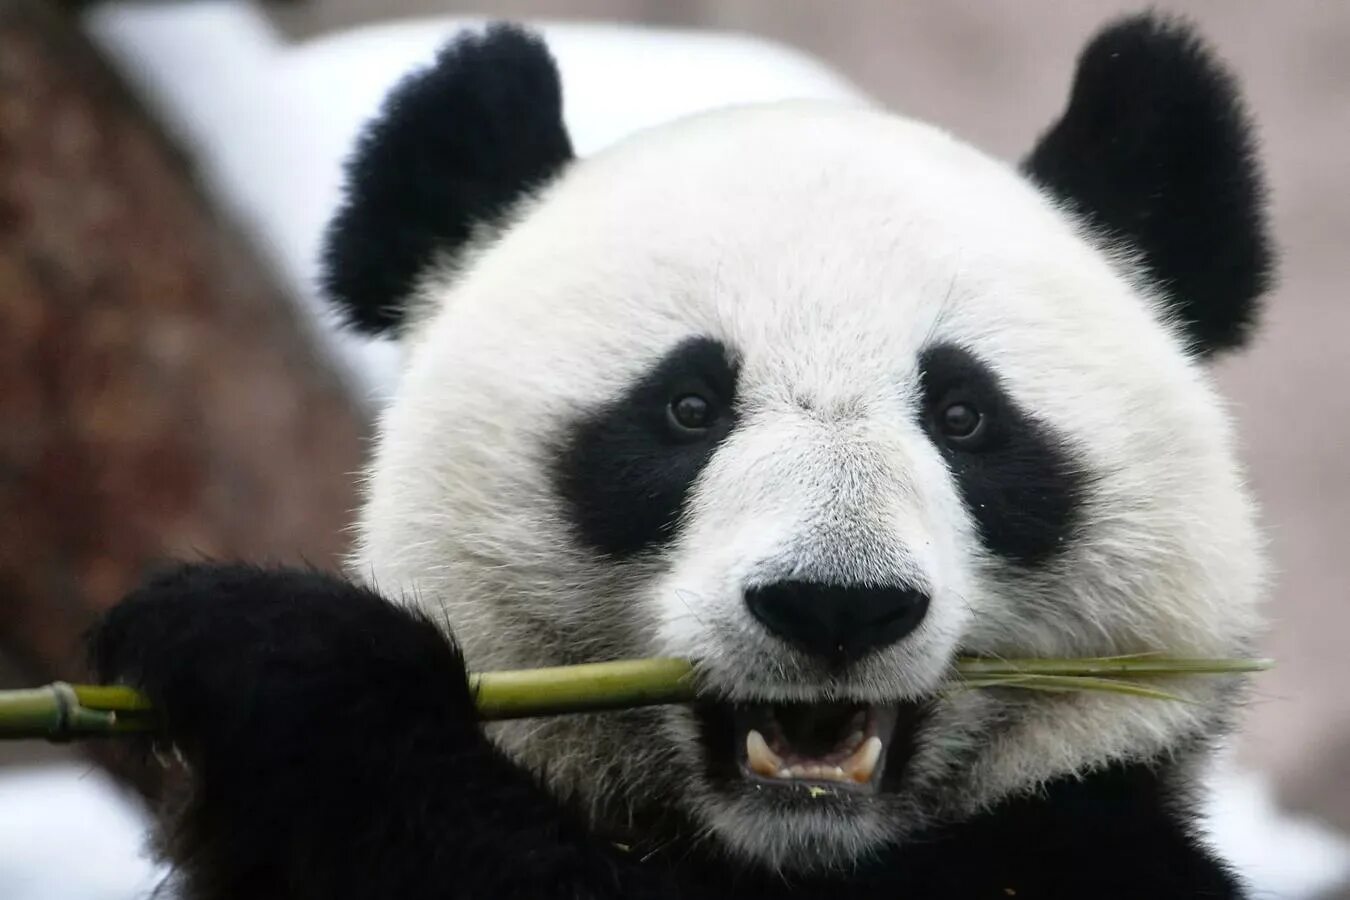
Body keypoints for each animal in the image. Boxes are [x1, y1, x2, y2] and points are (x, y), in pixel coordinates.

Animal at [93, 11, 1275, 899]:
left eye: (965, 416)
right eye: (688, 407)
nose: (835, 605)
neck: (790, 856)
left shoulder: (1086, 849)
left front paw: (274, 650)